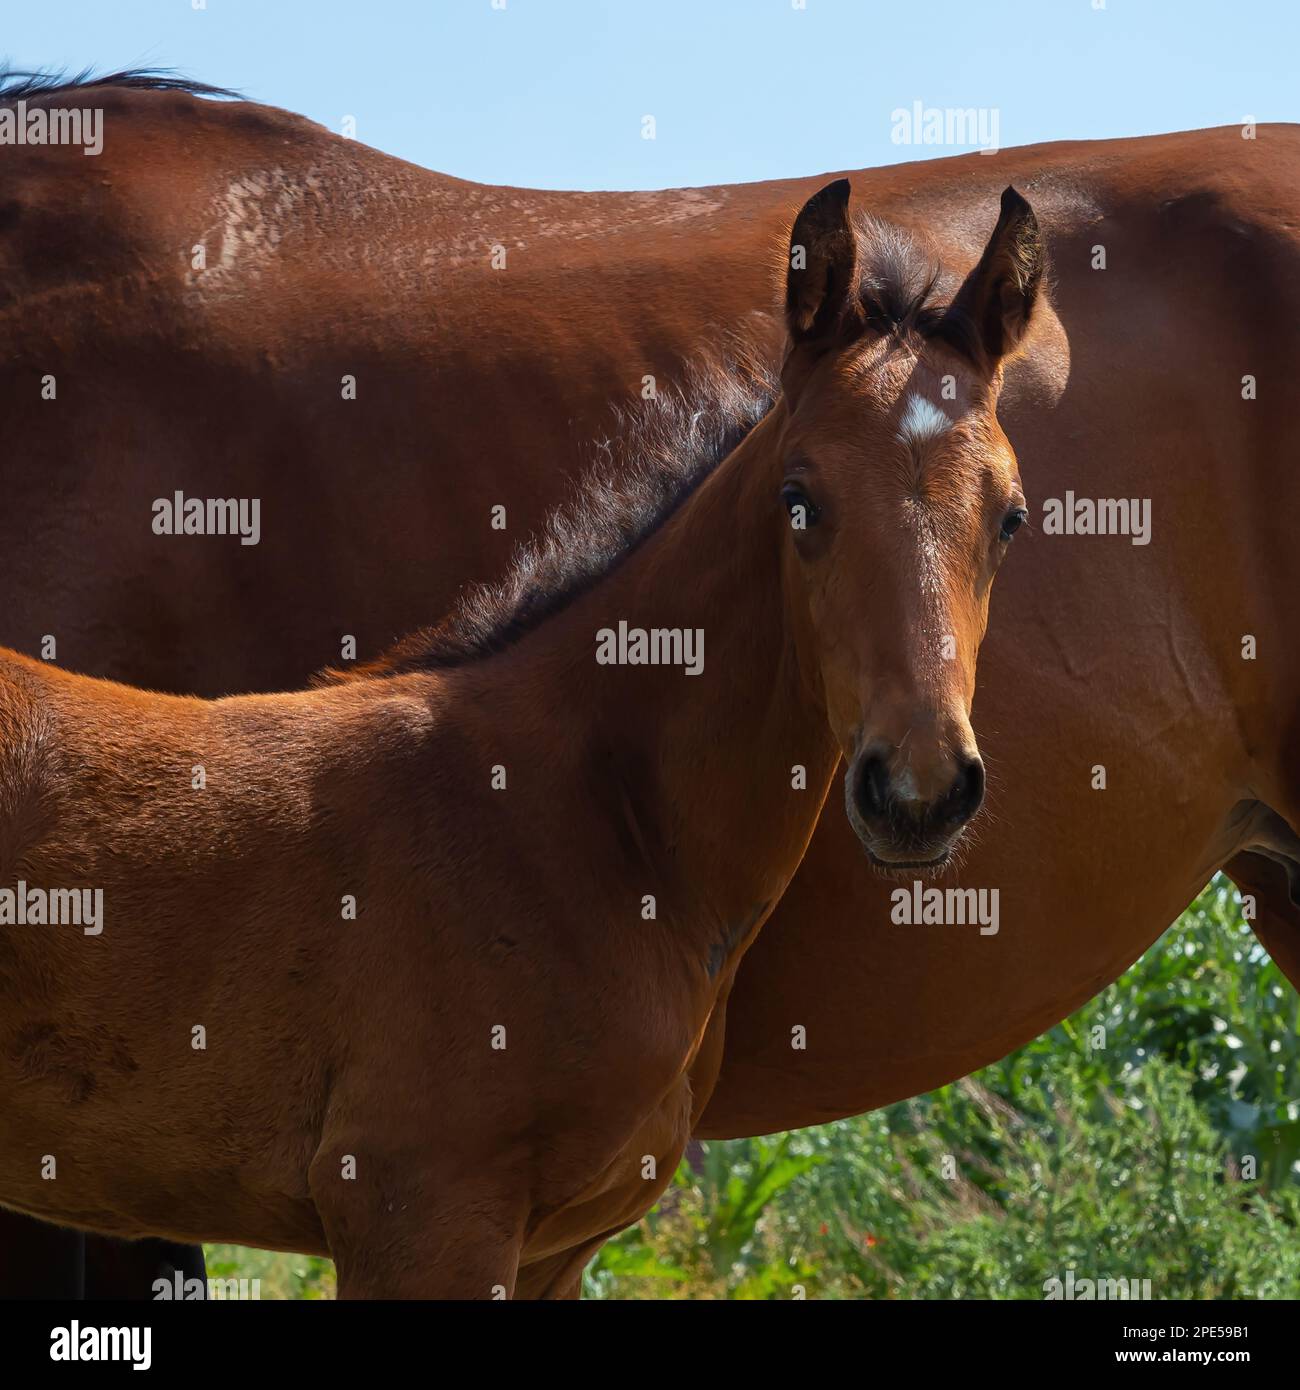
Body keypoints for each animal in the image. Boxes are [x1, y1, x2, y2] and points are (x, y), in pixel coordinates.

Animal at [3, 70, 1297, 1298]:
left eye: (1015, 515)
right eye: (799, 500)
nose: (919, 790)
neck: (570, 810)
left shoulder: (519, 1238)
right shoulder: (415, 1214)